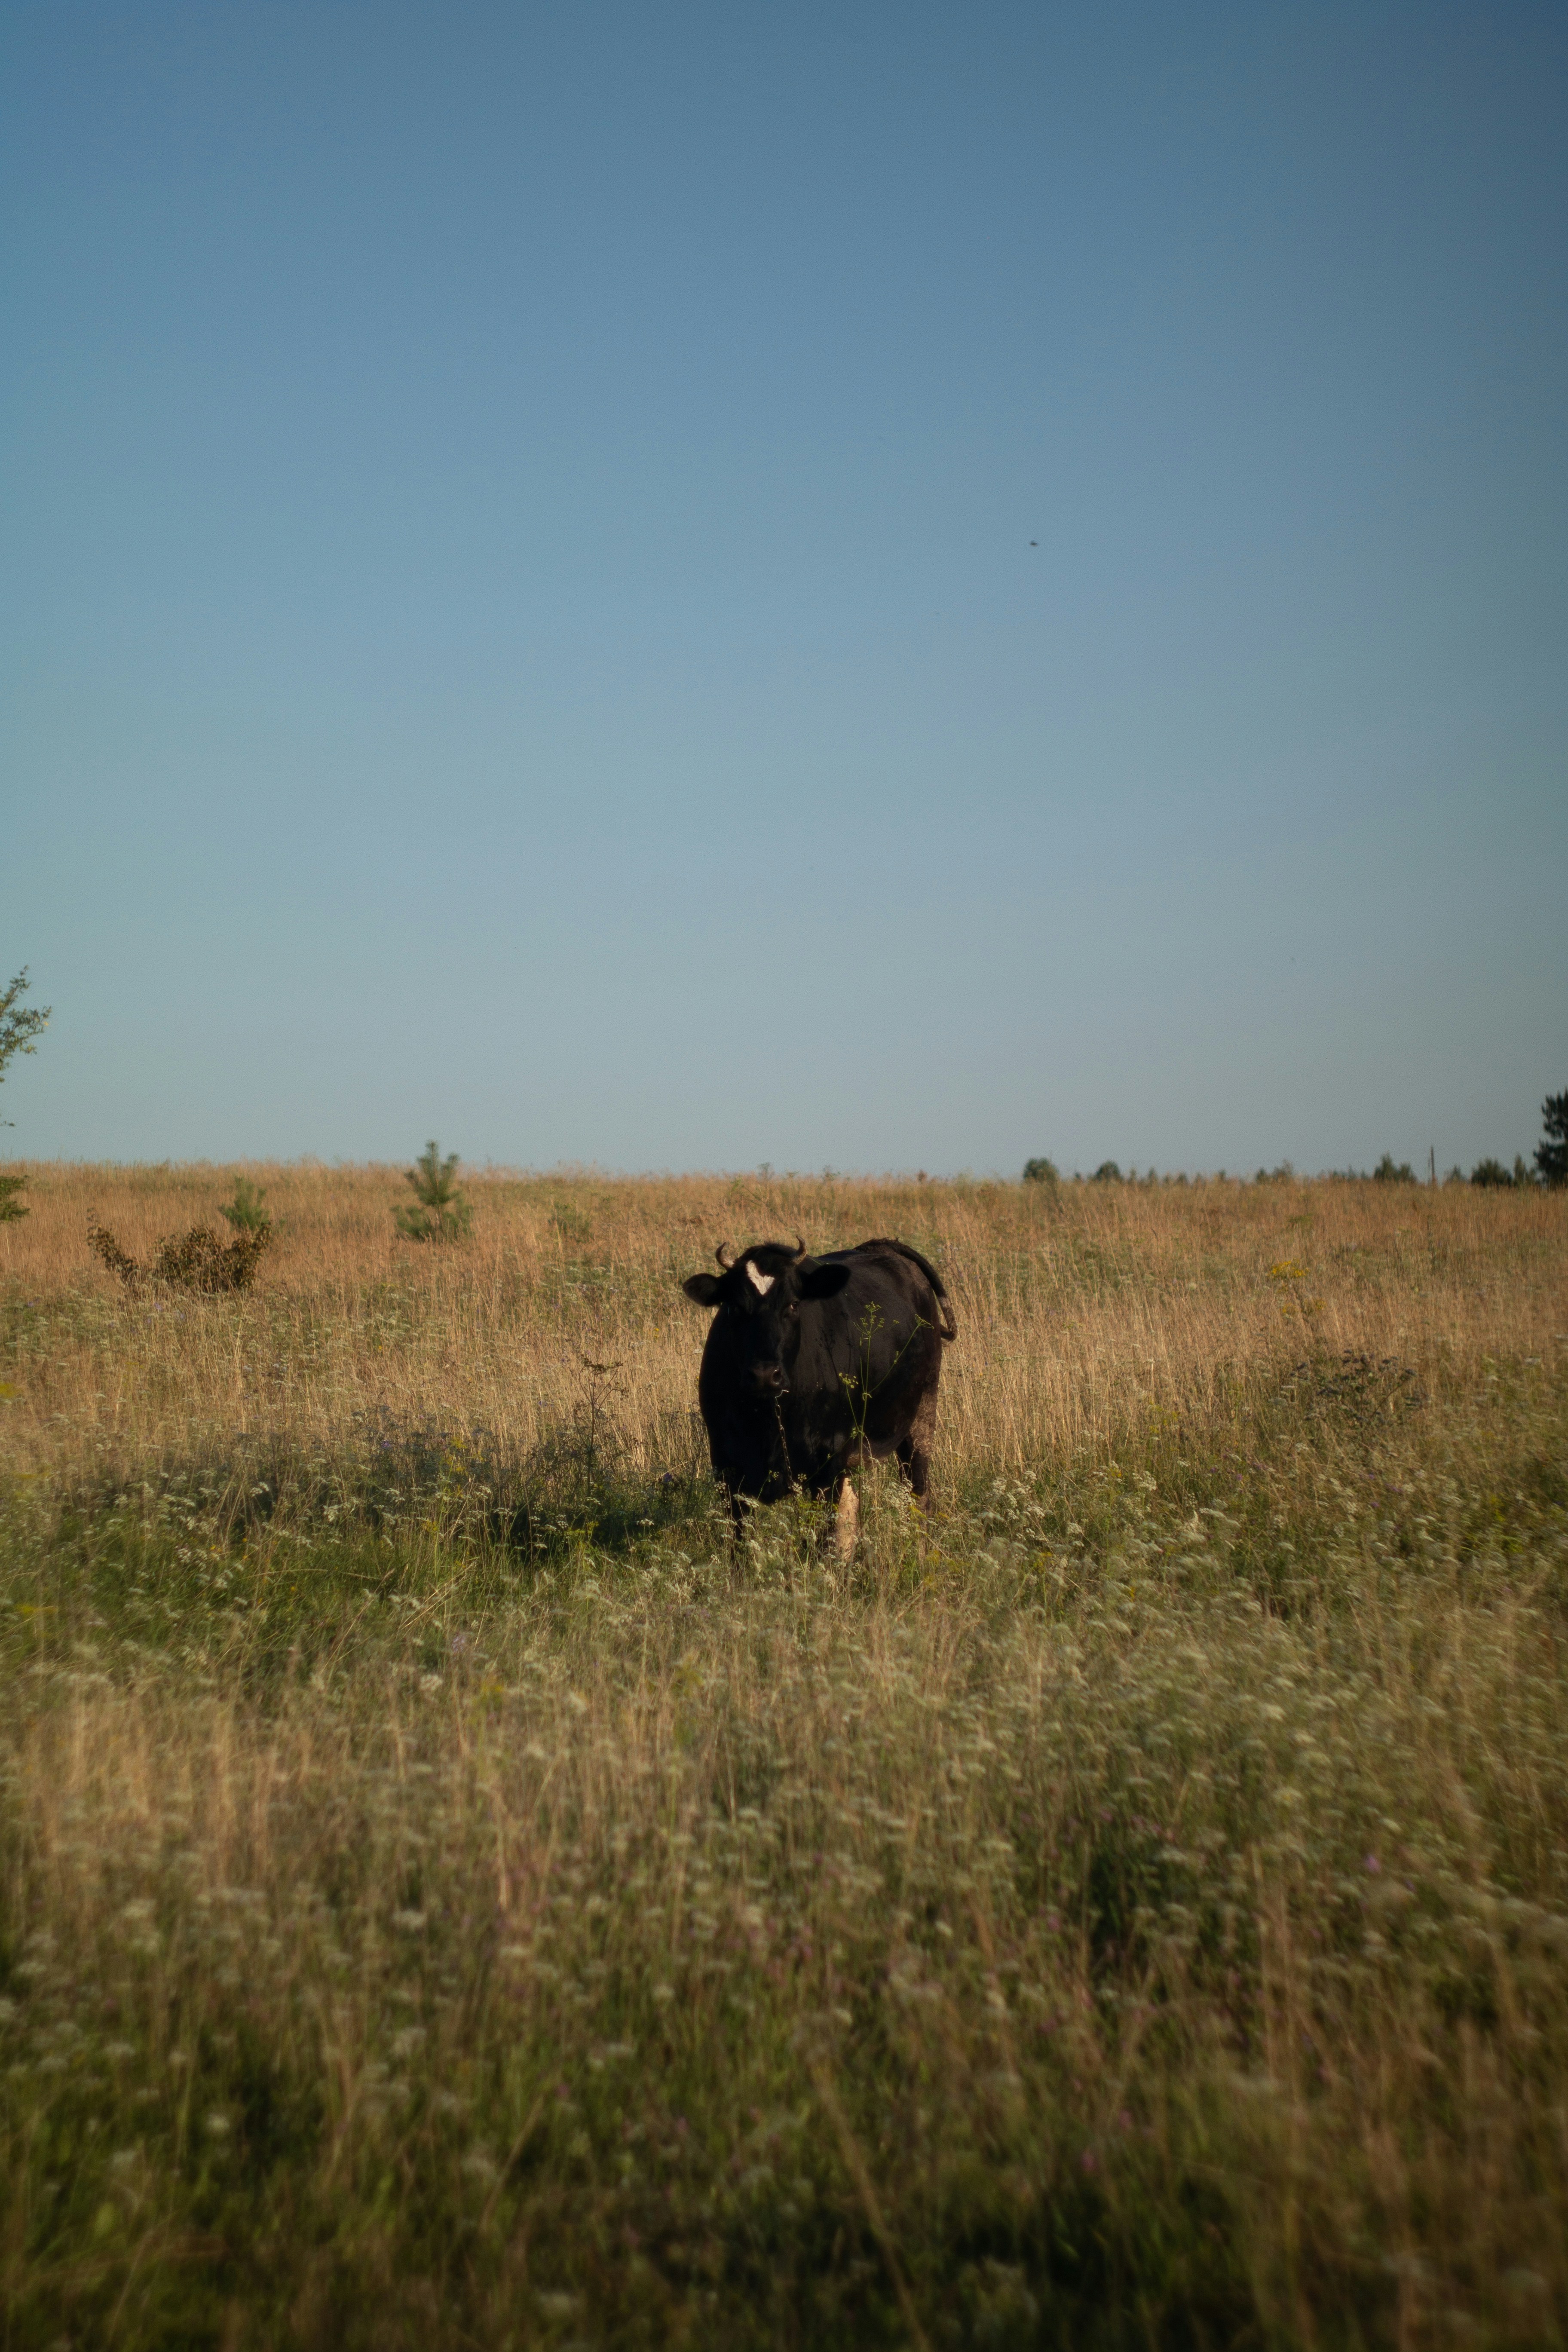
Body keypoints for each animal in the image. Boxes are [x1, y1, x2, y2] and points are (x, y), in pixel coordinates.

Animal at [680, 1235, 957, 1557]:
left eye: (793, 1304)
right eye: (735, 1307)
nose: (764, 1375)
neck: (769, 1420)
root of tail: (881, 1246)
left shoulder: (828, 1462)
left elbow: (820, 1542)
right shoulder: (727, 1466)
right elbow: (742, 1546)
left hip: (923, 1410)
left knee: (918, 1494)